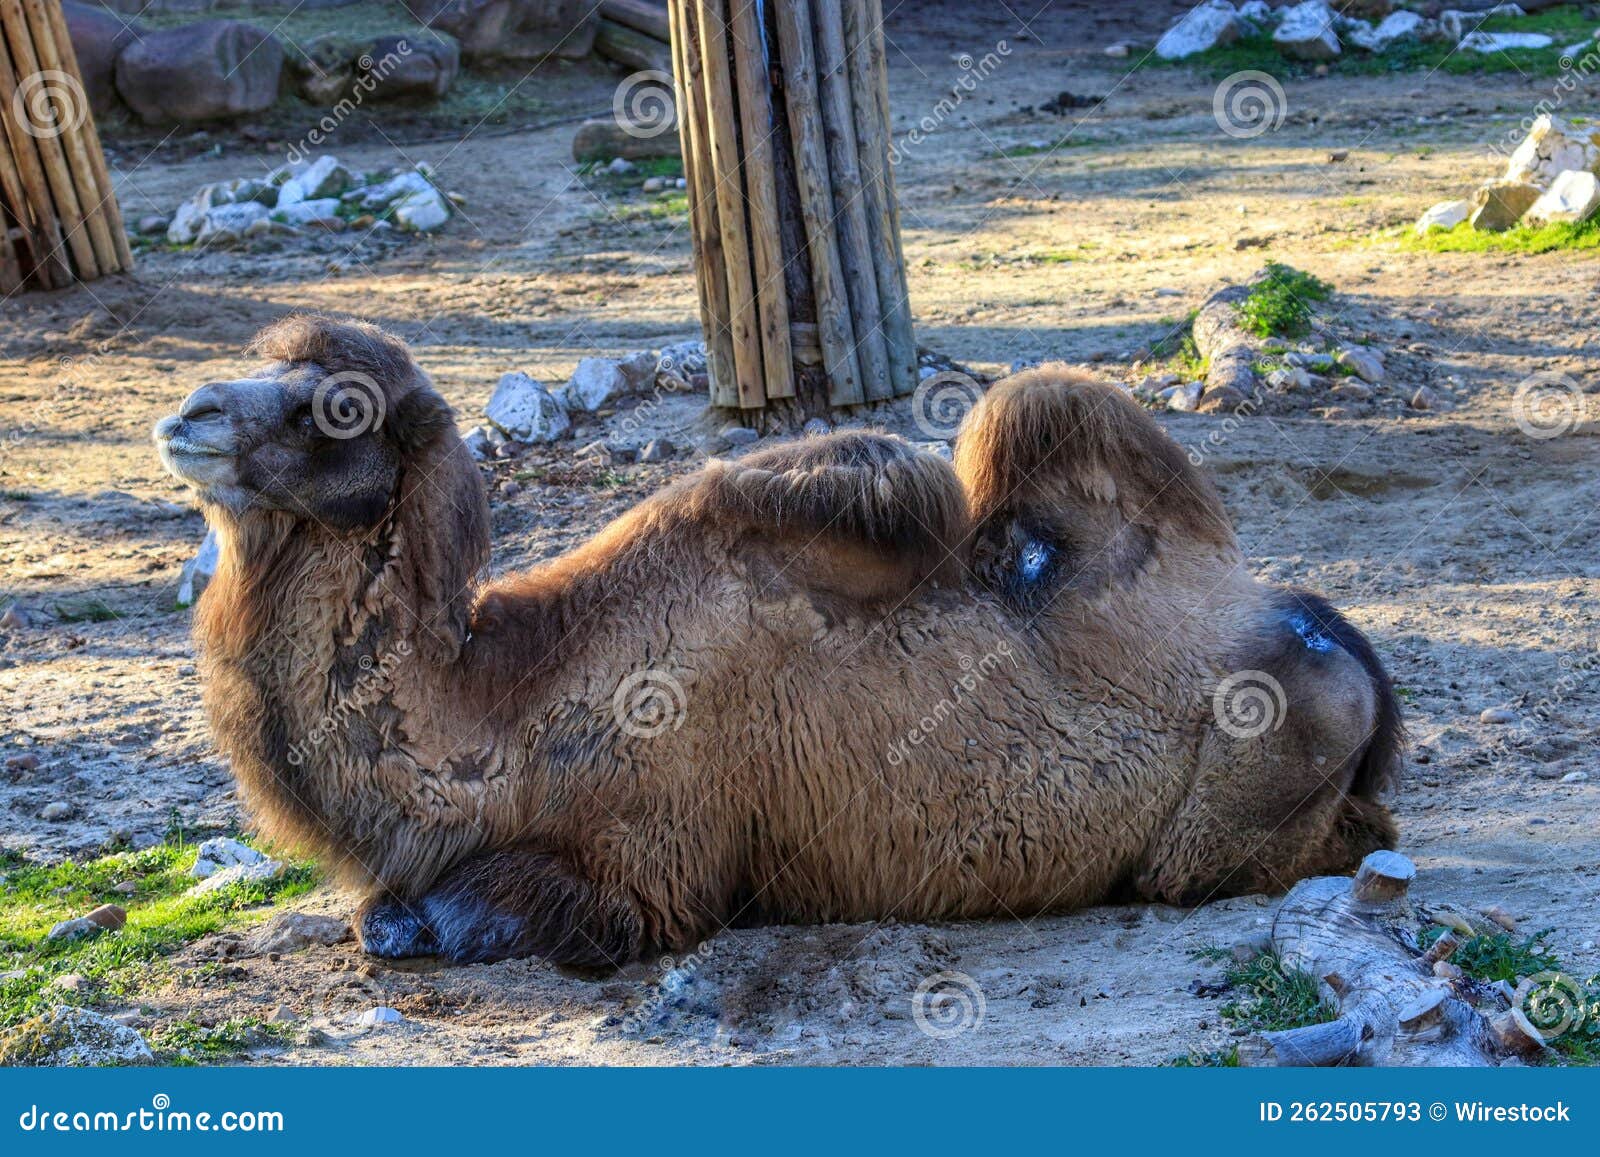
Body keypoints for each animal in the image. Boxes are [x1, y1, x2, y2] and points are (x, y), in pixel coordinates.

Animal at [154, 316, 1401, 970]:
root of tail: (1347, 654)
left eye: (337, 406)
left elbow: (444, 914)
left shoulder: (653, 866)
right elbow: (381, 908)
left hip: (1234, 797)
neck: (510, 720)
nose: (187, 413)